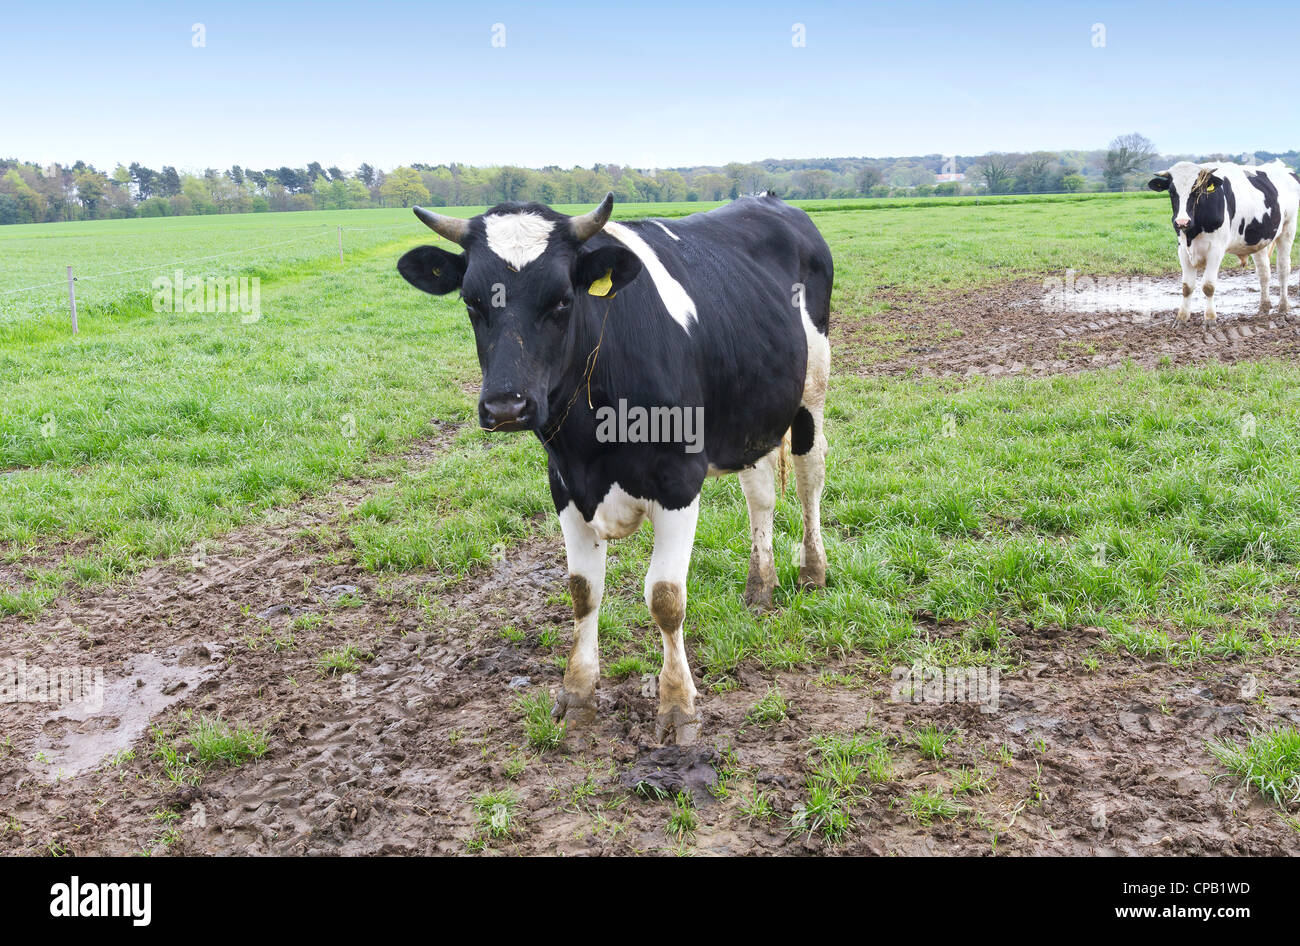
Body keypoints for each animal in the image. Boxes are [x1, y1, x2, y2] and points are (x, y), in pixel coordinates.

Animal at [397, 193, 833, 745]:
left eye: (562, 300)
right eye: (472, 303)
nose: (505, 406)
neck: (591, 442)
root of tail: (769, 199)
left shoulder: (678, 481)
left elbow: (666, 598)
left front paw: (678, 707)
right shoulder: (564, 484)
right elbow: (583, 591)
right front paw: (577, 695)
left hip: (811, 389)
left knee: (809, 477)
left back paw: (812, 570)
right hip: (753, 409)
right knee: (760, 495)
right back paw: (761, 586)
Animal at [1148, 160, 1300, 324]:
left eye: (1197, 191)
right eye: (1171, 192)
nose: (1182, 222)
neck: (1194, 232)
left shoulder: (1216, 249)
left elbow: (1208, 286)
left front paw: (1210, 319)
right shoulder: (1182, 249)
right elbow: (1186, 287)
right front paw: (1181, 318)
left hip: (1288, 228)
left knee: (1283, 269)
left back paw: (1283, 306)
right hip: (1259, 238)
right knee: (1264, 272)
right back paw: (1264, 306)